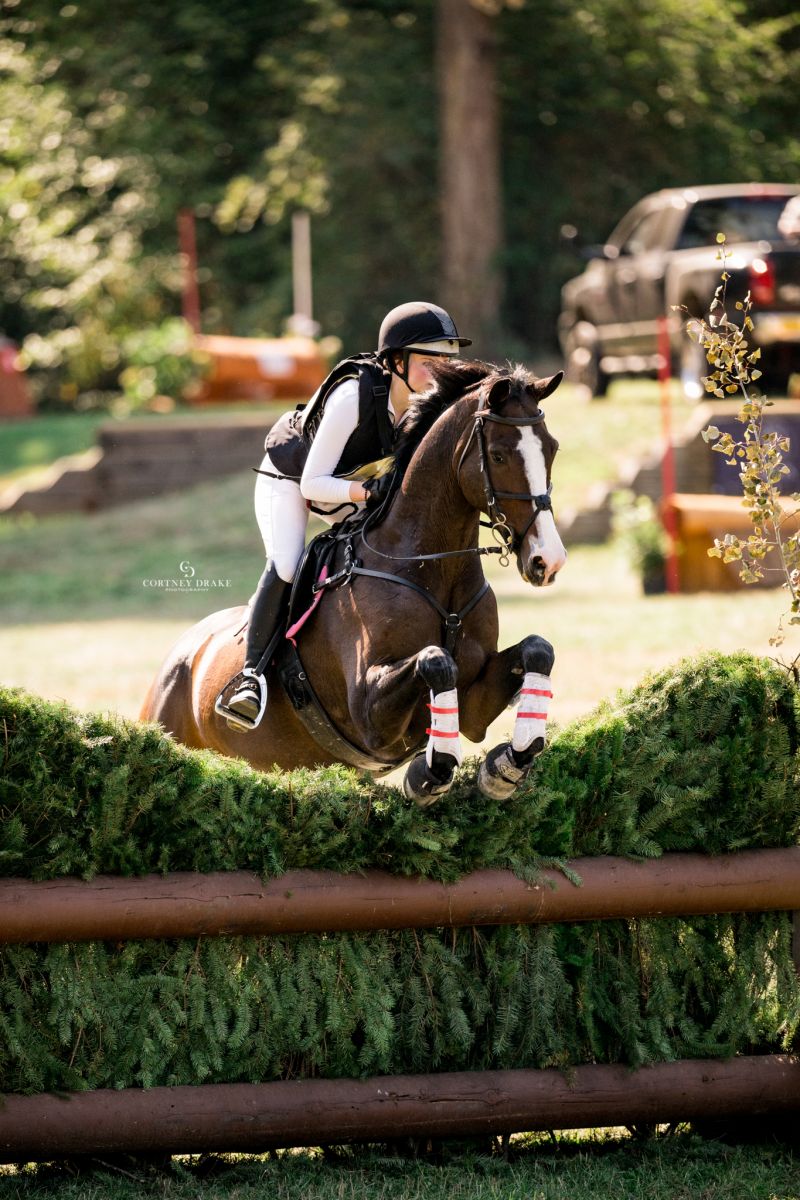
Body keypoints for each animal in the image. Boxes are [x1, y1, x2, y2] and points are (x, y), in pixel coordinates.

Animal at [140, 359, 567, 803]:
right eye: (498, 455)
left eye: (552, 448)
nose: (547, 560)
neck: (429, 569)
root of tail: (185, 648)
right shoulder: (369, 713)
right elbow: (436, 660)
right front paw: (429, 773)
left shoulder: (474, 703)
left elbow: (537, 650)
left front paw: (507, 764)